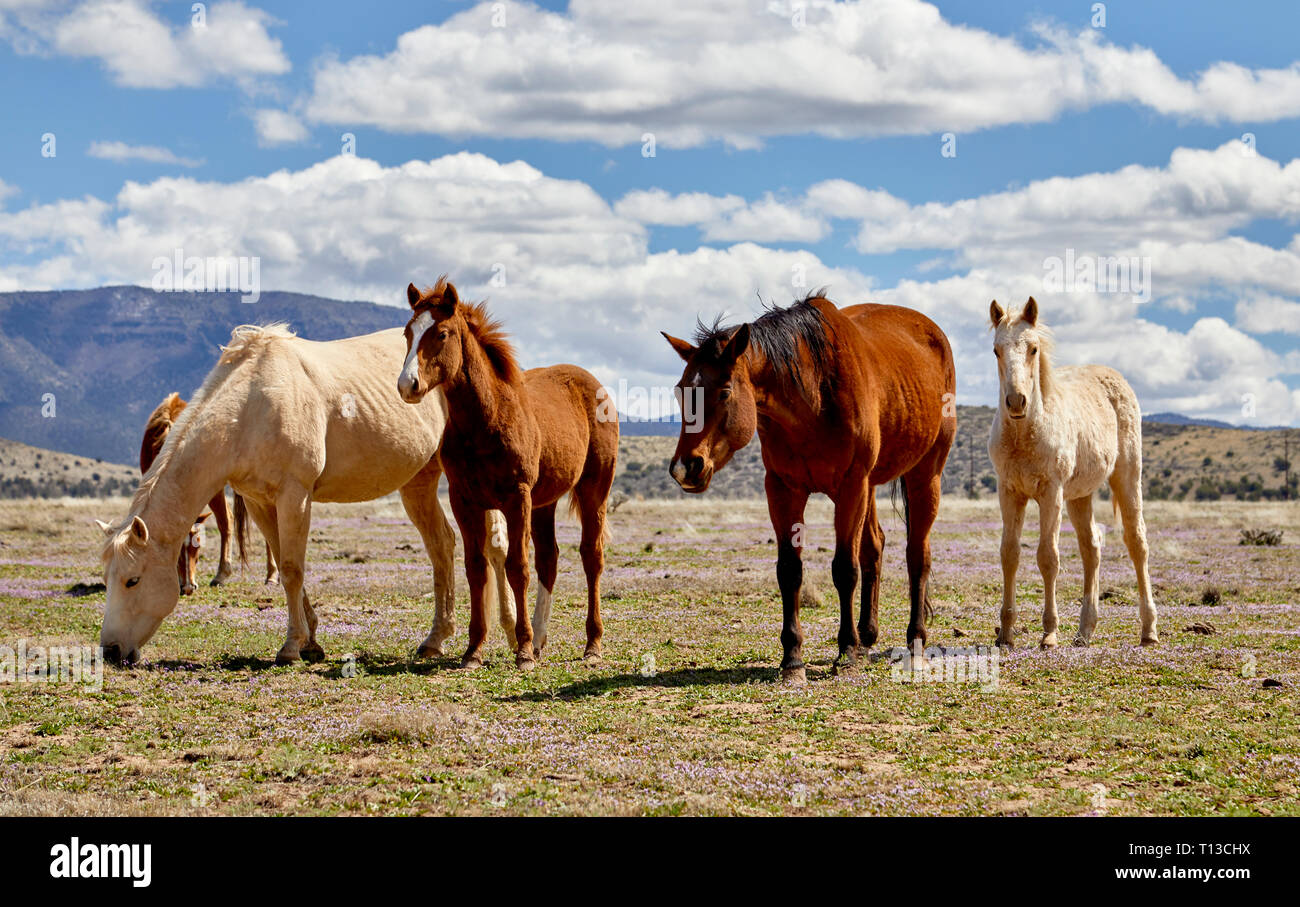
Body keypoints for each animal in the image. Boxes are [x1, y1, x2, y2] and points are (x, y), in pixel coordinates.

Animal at [398, 278, 619, 671]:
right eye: (409, 333)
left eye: (441, 333)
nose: (407, 385)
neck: (485, 419)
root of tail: (594, 384)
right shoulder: (465, 500)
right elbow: (476, 568)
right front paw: (474, 650)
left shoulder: (517, 498)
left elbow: (517, 567)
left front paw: (523, 650)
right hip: (545, 502)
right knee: (549, 558)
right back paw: (543, 639)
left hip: (594, 490)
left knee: (591, 556)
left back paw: (592, 644)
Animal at [661, 291, 956, 683]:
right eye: (681, 393)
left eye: (723, 392)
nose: (685, 467)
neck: (813, 397)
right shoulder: (783, 488)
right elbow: (790, 570)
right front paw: (793, 658)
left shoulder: (850, 485)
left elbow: (845, 569)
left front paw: (846, 653)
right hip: (872, 485)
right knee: (875, 547)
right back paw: (867, 635)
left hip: (924, 475)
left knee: (917, 556)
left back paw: (914, 641)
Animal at [987, 298, 1158, 648]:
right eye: (996, 350)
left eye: (1033, 349)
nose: (1016, 401)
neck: (1024, 435)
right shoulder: (1009, 491)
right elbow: (1009, 554)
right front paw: (1006, 634)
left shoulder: (1051, 492)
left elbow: (1047, 557)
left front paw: (1049, 633)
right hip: (1081, 495)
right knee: (1091, 547)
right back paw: (1084, 630)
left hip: (1127, 477)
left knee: (1137, 543)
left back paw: (1149, 630)